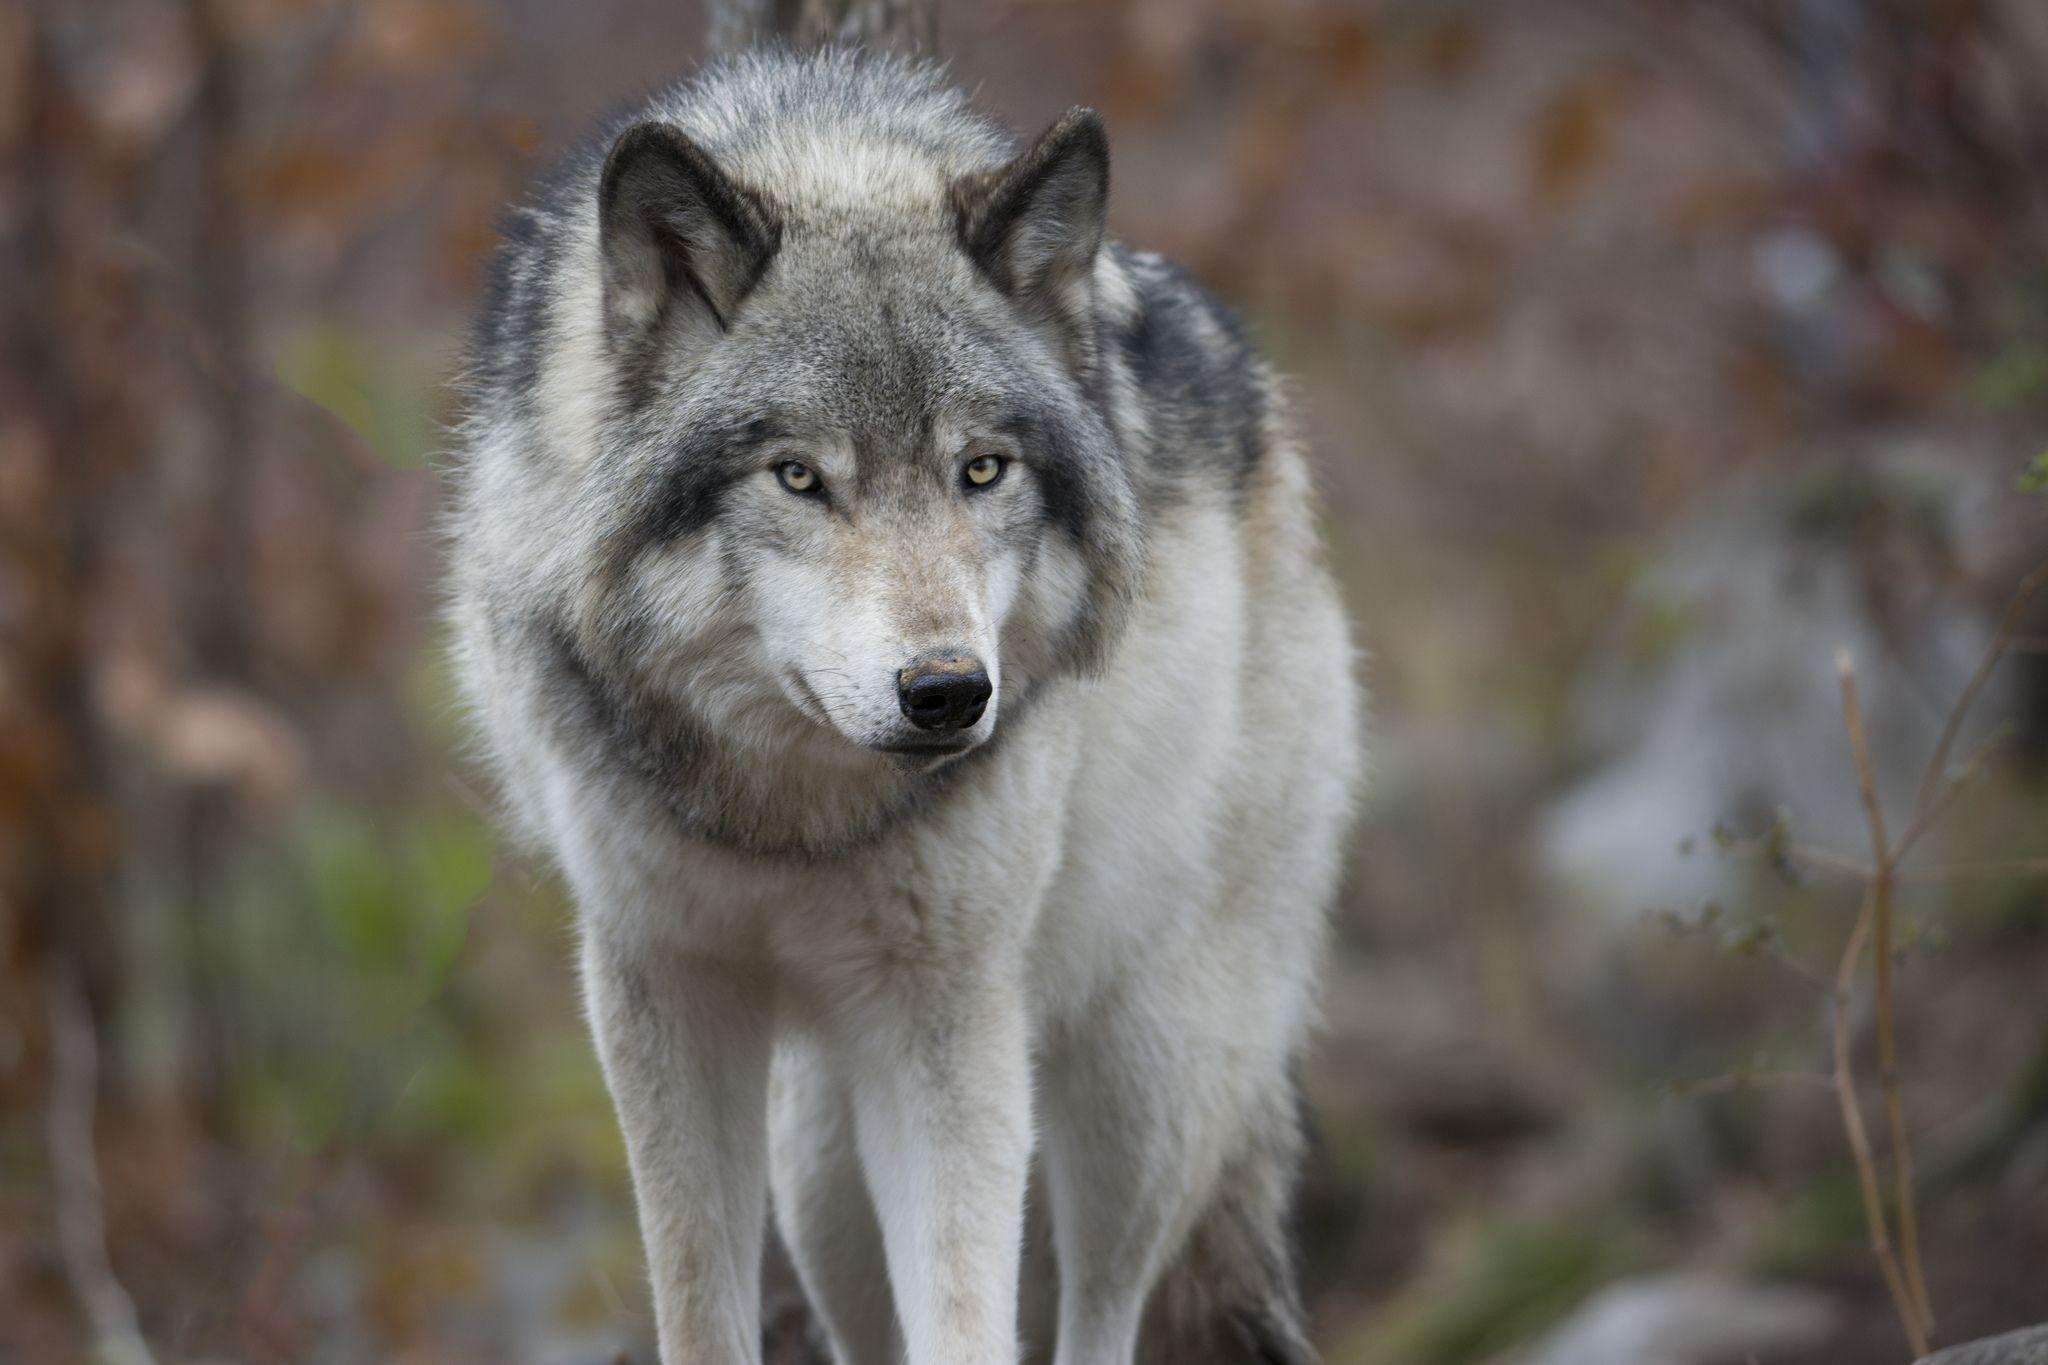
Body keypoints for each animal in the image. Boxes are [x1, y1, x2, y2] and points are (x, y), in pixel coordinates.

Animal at [448, 44, 1361, 1365]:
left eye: (980, 469)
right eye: (796, 476)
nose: (947, 694)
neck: (791, 813)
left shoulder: (949, 1011)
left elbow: (972, 1310)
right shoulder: (661, 987)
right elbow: (696, 1301)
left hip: (1139, 1071)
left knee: (1102, 1306)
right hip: (819, 1155)